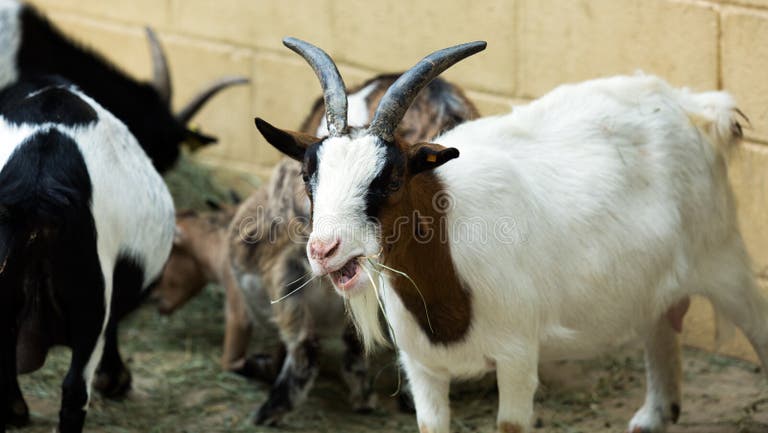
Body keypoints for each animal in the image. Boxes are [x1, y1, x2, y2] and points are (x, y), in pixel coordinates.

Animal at [255, 38, 767, 433]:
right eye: (309, 176)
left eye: (393, 178)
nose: (324, 250)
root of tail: (693, 107)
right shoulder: (422, 369)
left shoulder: (518, 356)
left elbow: (512, 423)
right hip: (649, 280)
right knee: (662, 324)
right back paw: (653, 417)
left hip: (724, 256)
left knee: (755, 322)